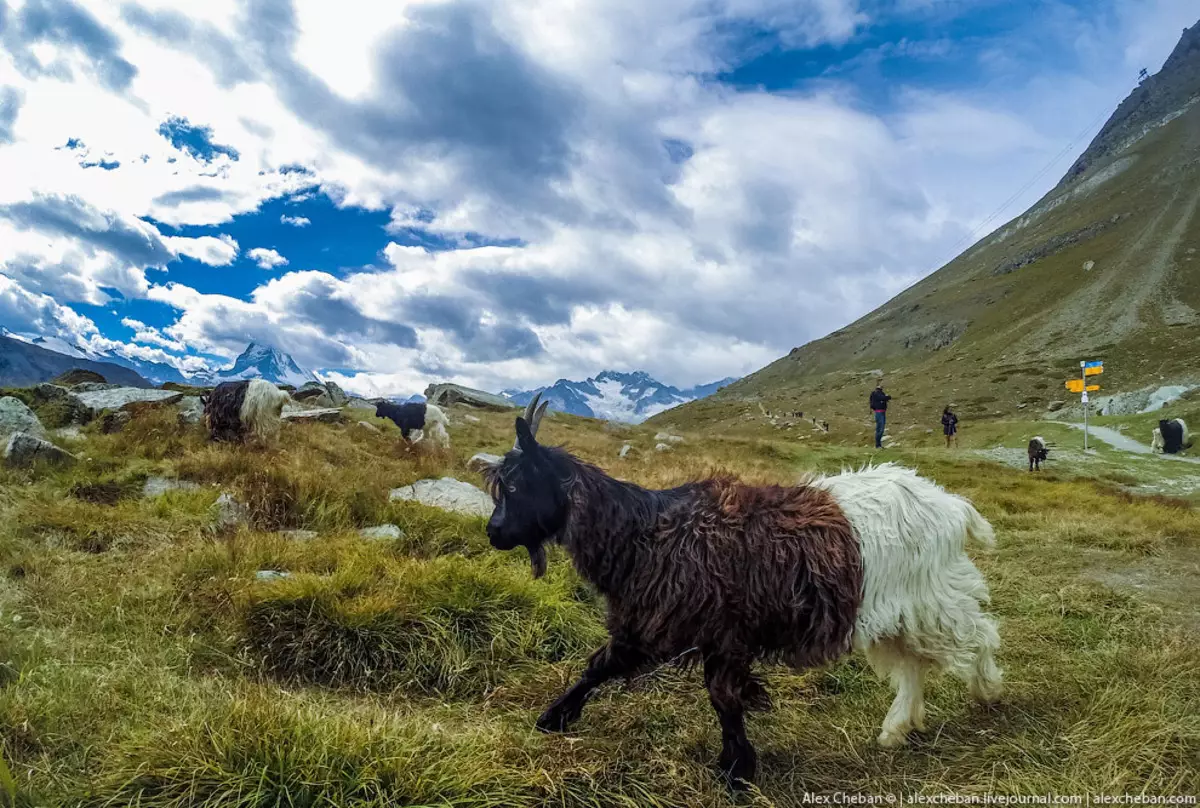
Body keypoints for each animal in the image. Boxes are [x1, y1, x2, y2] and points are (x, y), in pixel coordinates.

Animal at [477, 393, 1003, 782]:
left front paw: (737, 770)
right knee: (913, 665)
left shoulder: (721, 631)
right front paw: (554, 718)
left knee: (978, 638)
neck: (644, 534)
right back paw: (896, 730)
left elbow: (722, 695)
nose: (493, 533)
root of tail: (953, 506)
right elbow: (600, 667)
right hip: (891, 613)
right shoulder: (653, 626)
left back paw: (988, 692)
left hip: (932, 601)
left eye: (517, 486)